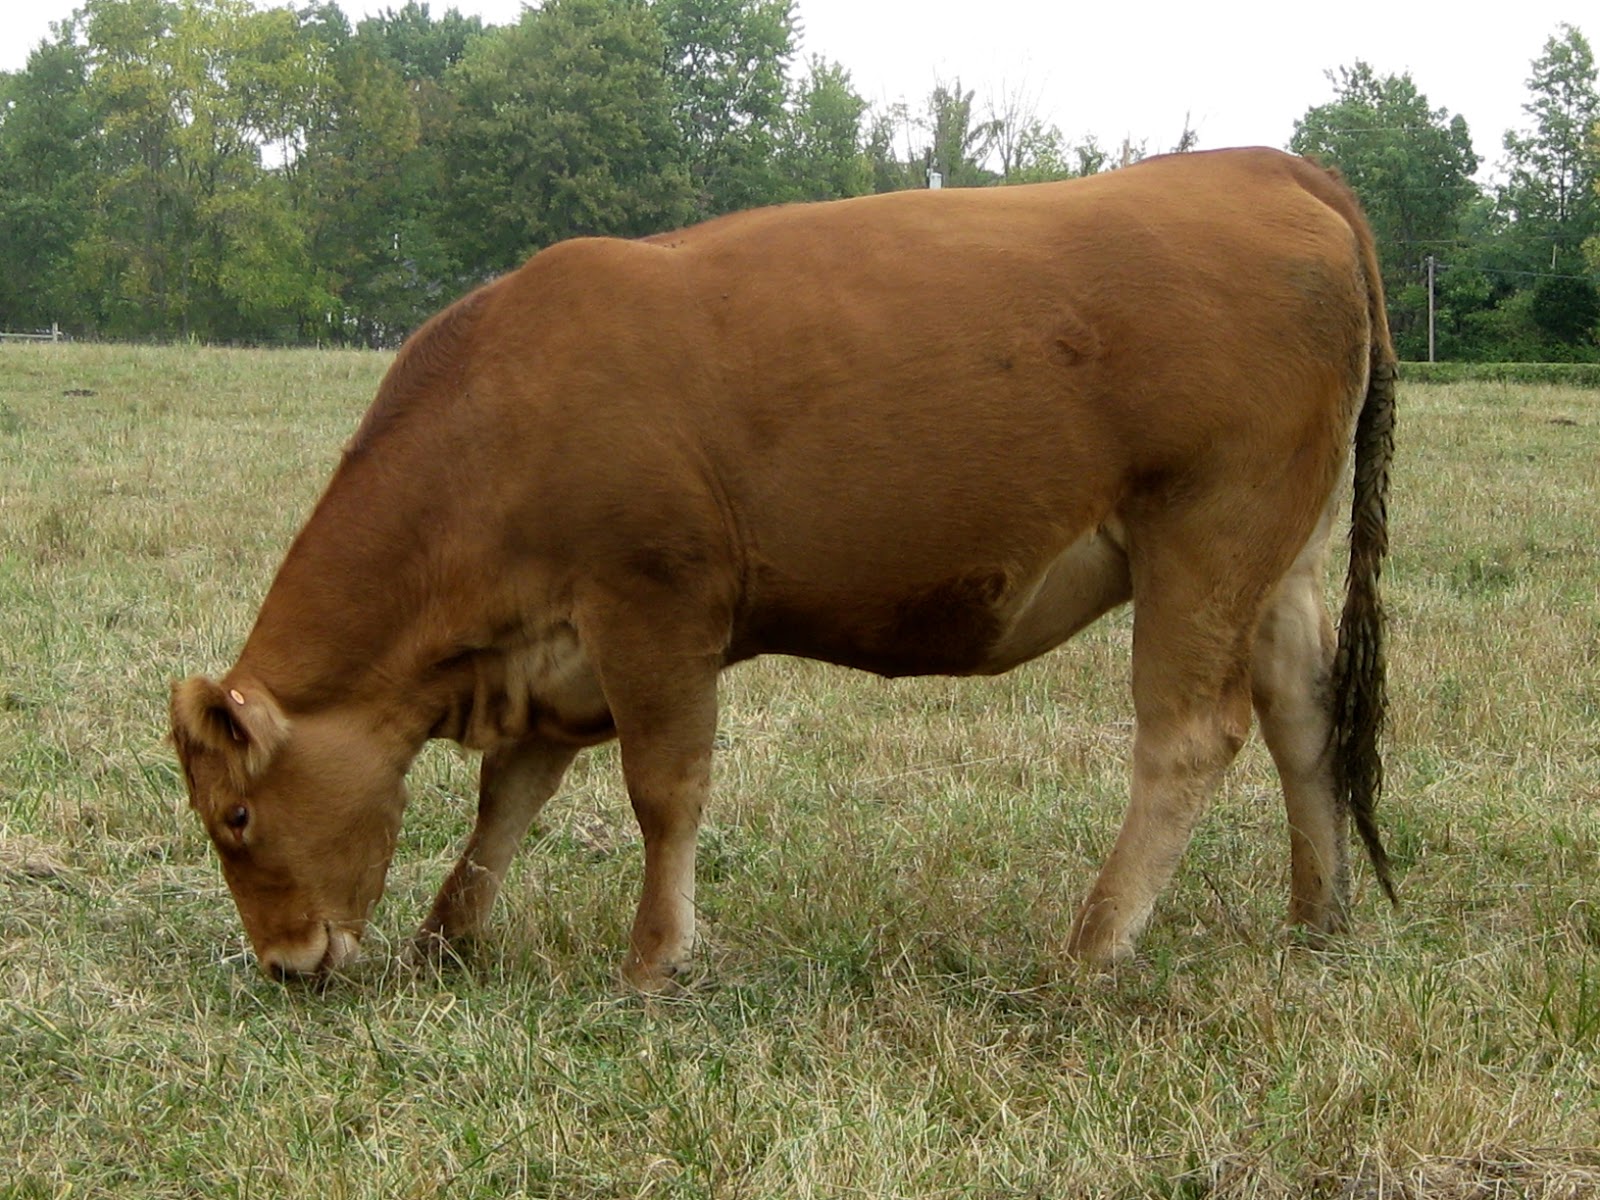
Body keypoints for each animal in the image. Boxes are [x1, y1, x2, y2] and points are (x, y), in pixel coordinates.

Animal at [171, 147, 1396, 986]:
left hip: (1206, 529)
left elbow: (664, 789)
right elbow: (505, 800)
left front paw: (653, 959)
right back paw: (1317, 914)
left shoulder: (651, 604)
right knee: (1302, 712)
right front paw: (447, 937)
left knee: (1190, 734)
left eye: (235, 819)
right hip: (1276, 553)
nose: (287, 965)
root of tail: (1261, 162)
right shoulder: (553, 651)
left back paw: (1092, 948)